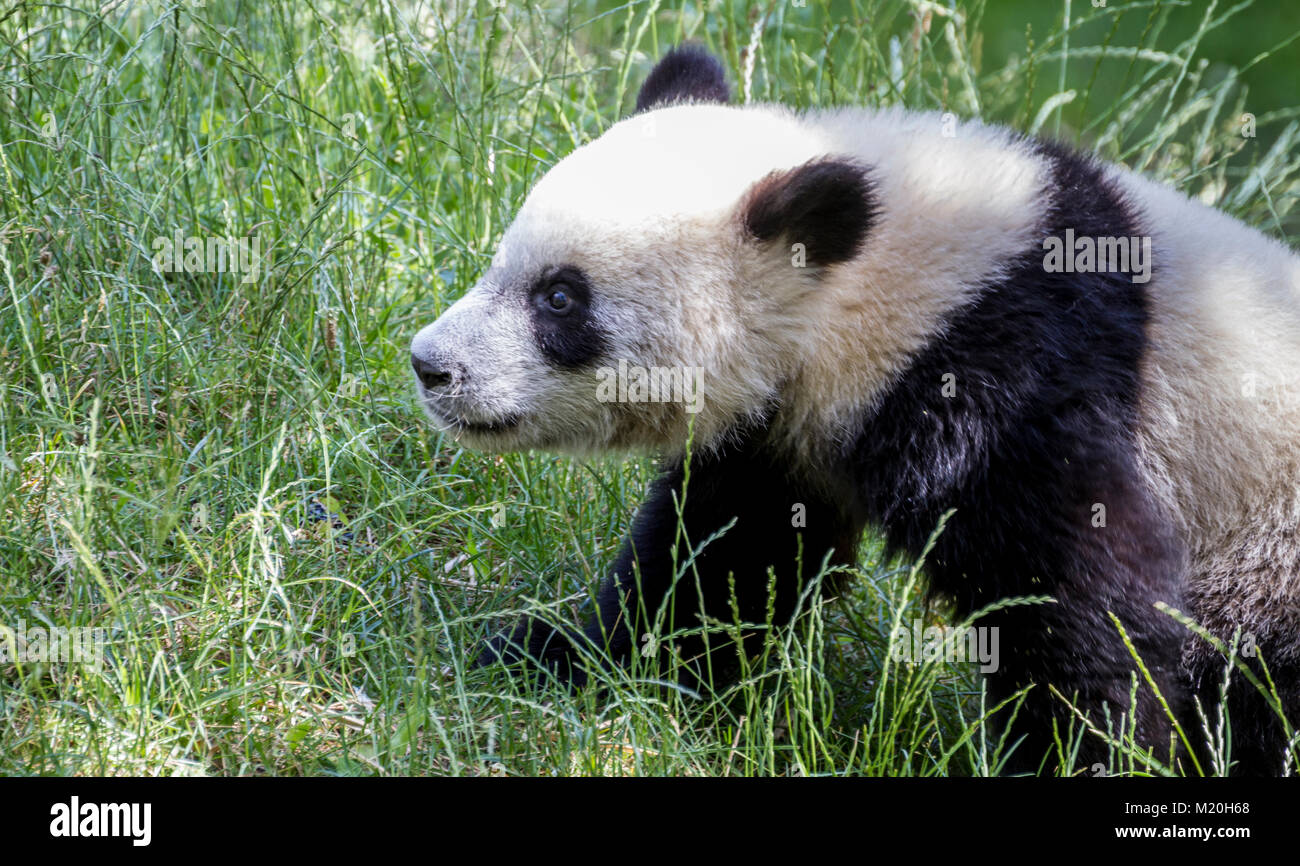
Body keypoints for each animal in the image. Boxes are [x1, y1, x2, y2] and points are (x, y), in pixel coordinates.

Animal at [410, 46, 1300, 775]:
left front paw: (1083, 754)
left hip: (1270, 560)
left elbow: (1082, 585)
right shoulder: (785, 430)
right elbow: (729, 562)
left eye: (560, 298)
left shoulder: (1015, 366)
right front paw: (562, 662)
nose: (431, 365)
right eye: (503, 262)